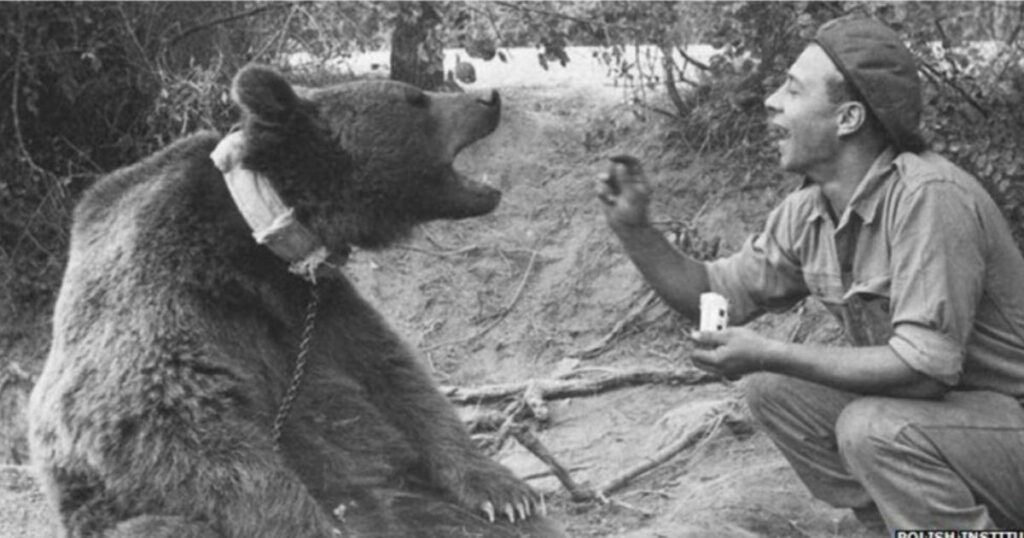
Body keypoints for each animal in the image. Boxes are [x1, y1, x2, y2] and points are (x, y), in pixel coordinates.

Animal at [27, 64, 565, 538]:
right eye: (416, 99)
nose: (489, 98)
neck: (264, 239)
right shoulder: (166, 296)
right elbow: (173, 422)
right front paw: (309, 522)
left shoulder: (318, 304)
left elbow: (396, 377)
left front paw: (505, 491)